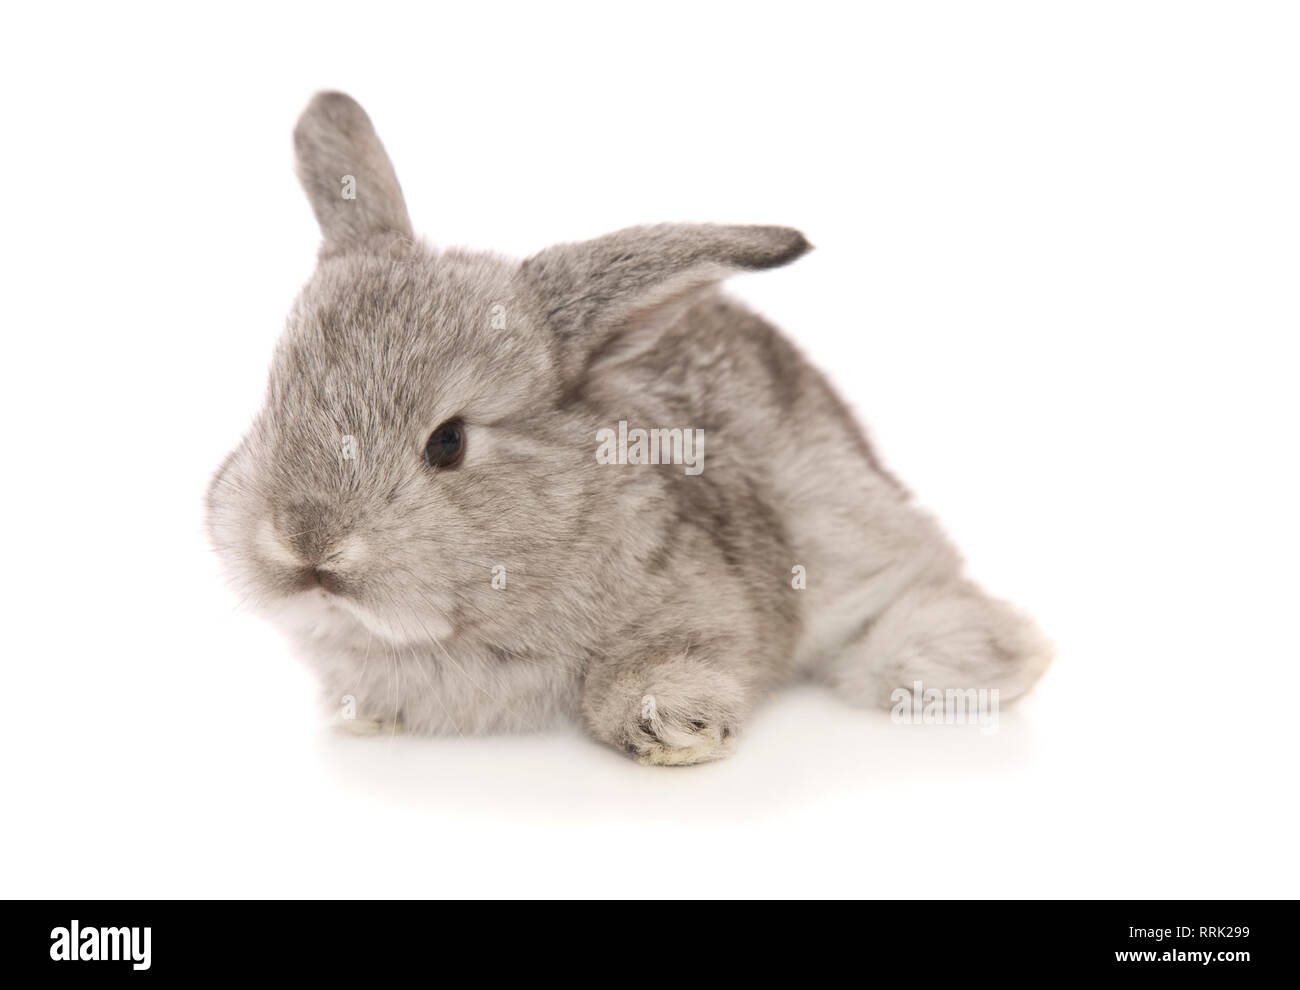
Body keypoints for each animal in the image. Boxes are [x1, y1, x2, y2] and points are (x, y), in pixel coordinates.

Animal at [206, 91, 1053, 766]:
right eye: (273, 401)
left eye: (448, 442)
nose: (306, 543)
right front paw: (365, 718)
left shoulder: (716, 604)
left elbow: (658, 665)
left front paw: (679, 726)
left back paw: (986, 656)